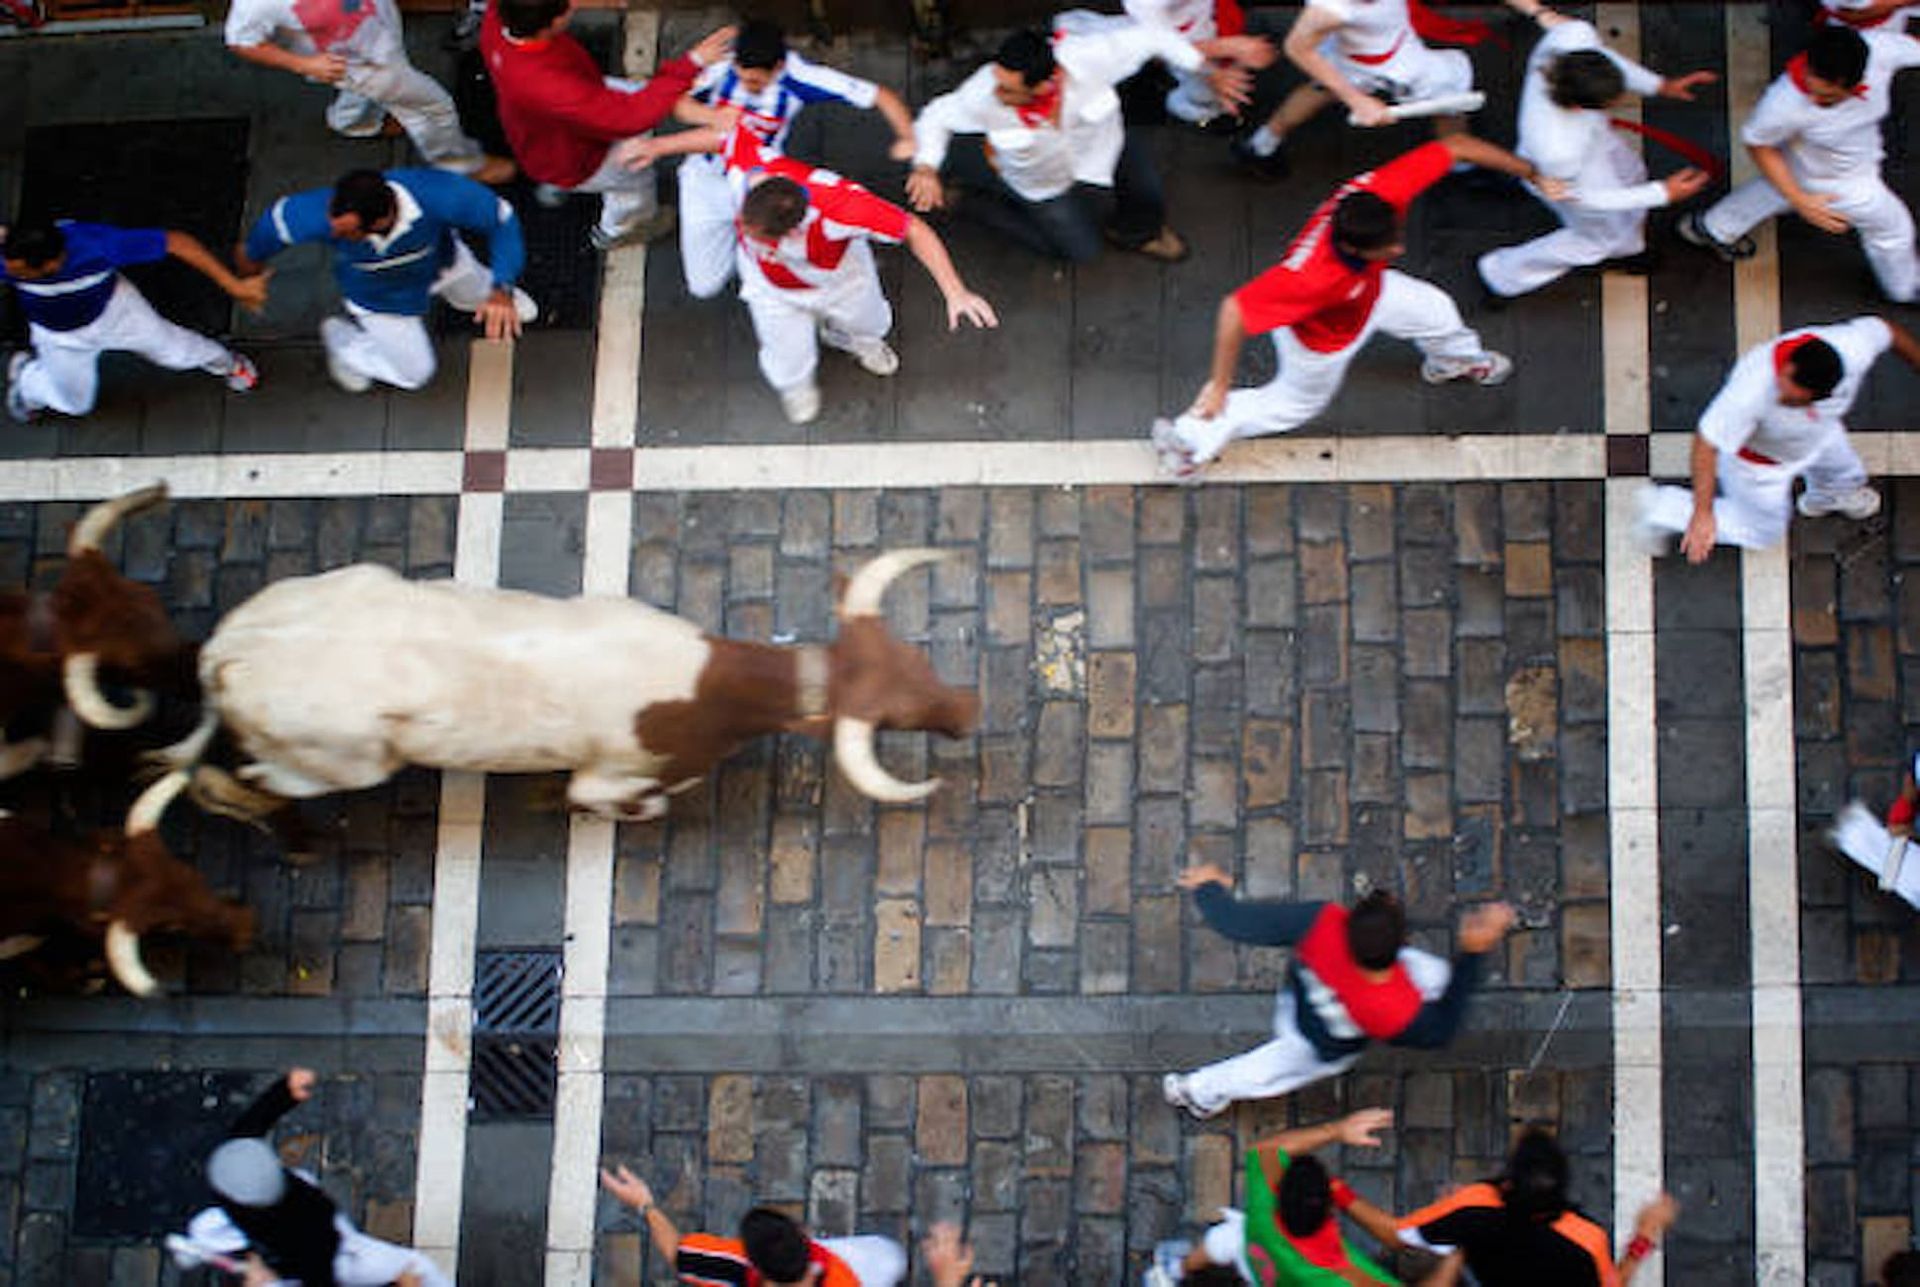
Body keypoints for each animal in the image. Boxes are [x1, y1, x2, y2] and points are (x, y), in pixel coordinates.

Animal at [153, 549, 975, 822]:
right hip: (343, 762)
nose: (969, 708)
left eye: (919, 659)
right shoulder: (612, 777)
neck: (710, 684)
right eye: (898, 713)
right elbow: (625, 802)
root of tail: (227, 648)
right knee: (249, 777)